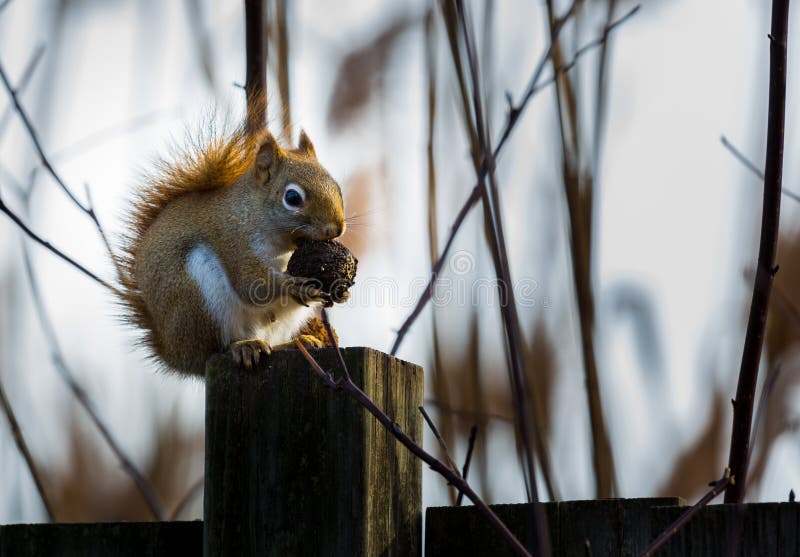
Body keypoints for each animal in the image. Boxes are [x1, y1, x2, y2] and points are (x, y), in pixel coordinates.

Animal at [119, 120, 345, 376]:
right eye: (292, 198)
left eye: (337, 188)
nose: (336, 229)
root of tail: (174, 355)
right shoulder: (234, 241)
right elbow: (252, 285)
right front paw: (294, 286)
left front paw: (341, 290)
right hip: (199, 300)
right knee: (216, 348)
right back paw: (244, 346)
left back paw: (295, 343)